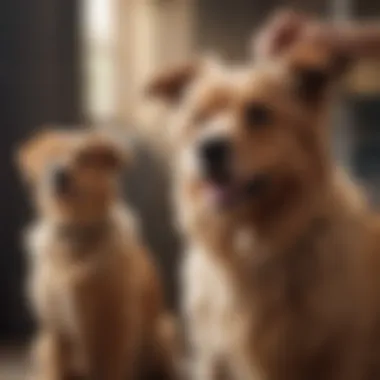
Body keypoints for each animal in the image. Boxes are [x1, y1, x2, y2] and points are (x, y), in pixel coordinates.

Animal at [16, 129, 177, 380]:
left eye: (84, 157)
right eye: (49, 156)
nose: (58, 173)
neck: (75, 233)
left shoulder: (114, 326)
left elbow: (110, 368)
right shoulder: (55, 328)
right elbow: (55, 370)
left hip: (164, 333)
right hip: (40, 344)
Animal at [146, 13, 380, 380]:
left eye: (259, 113)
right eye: (199, 117)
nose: (208, 148)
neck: (255, 245)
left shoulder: (345, 354)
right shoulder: (212, 354)